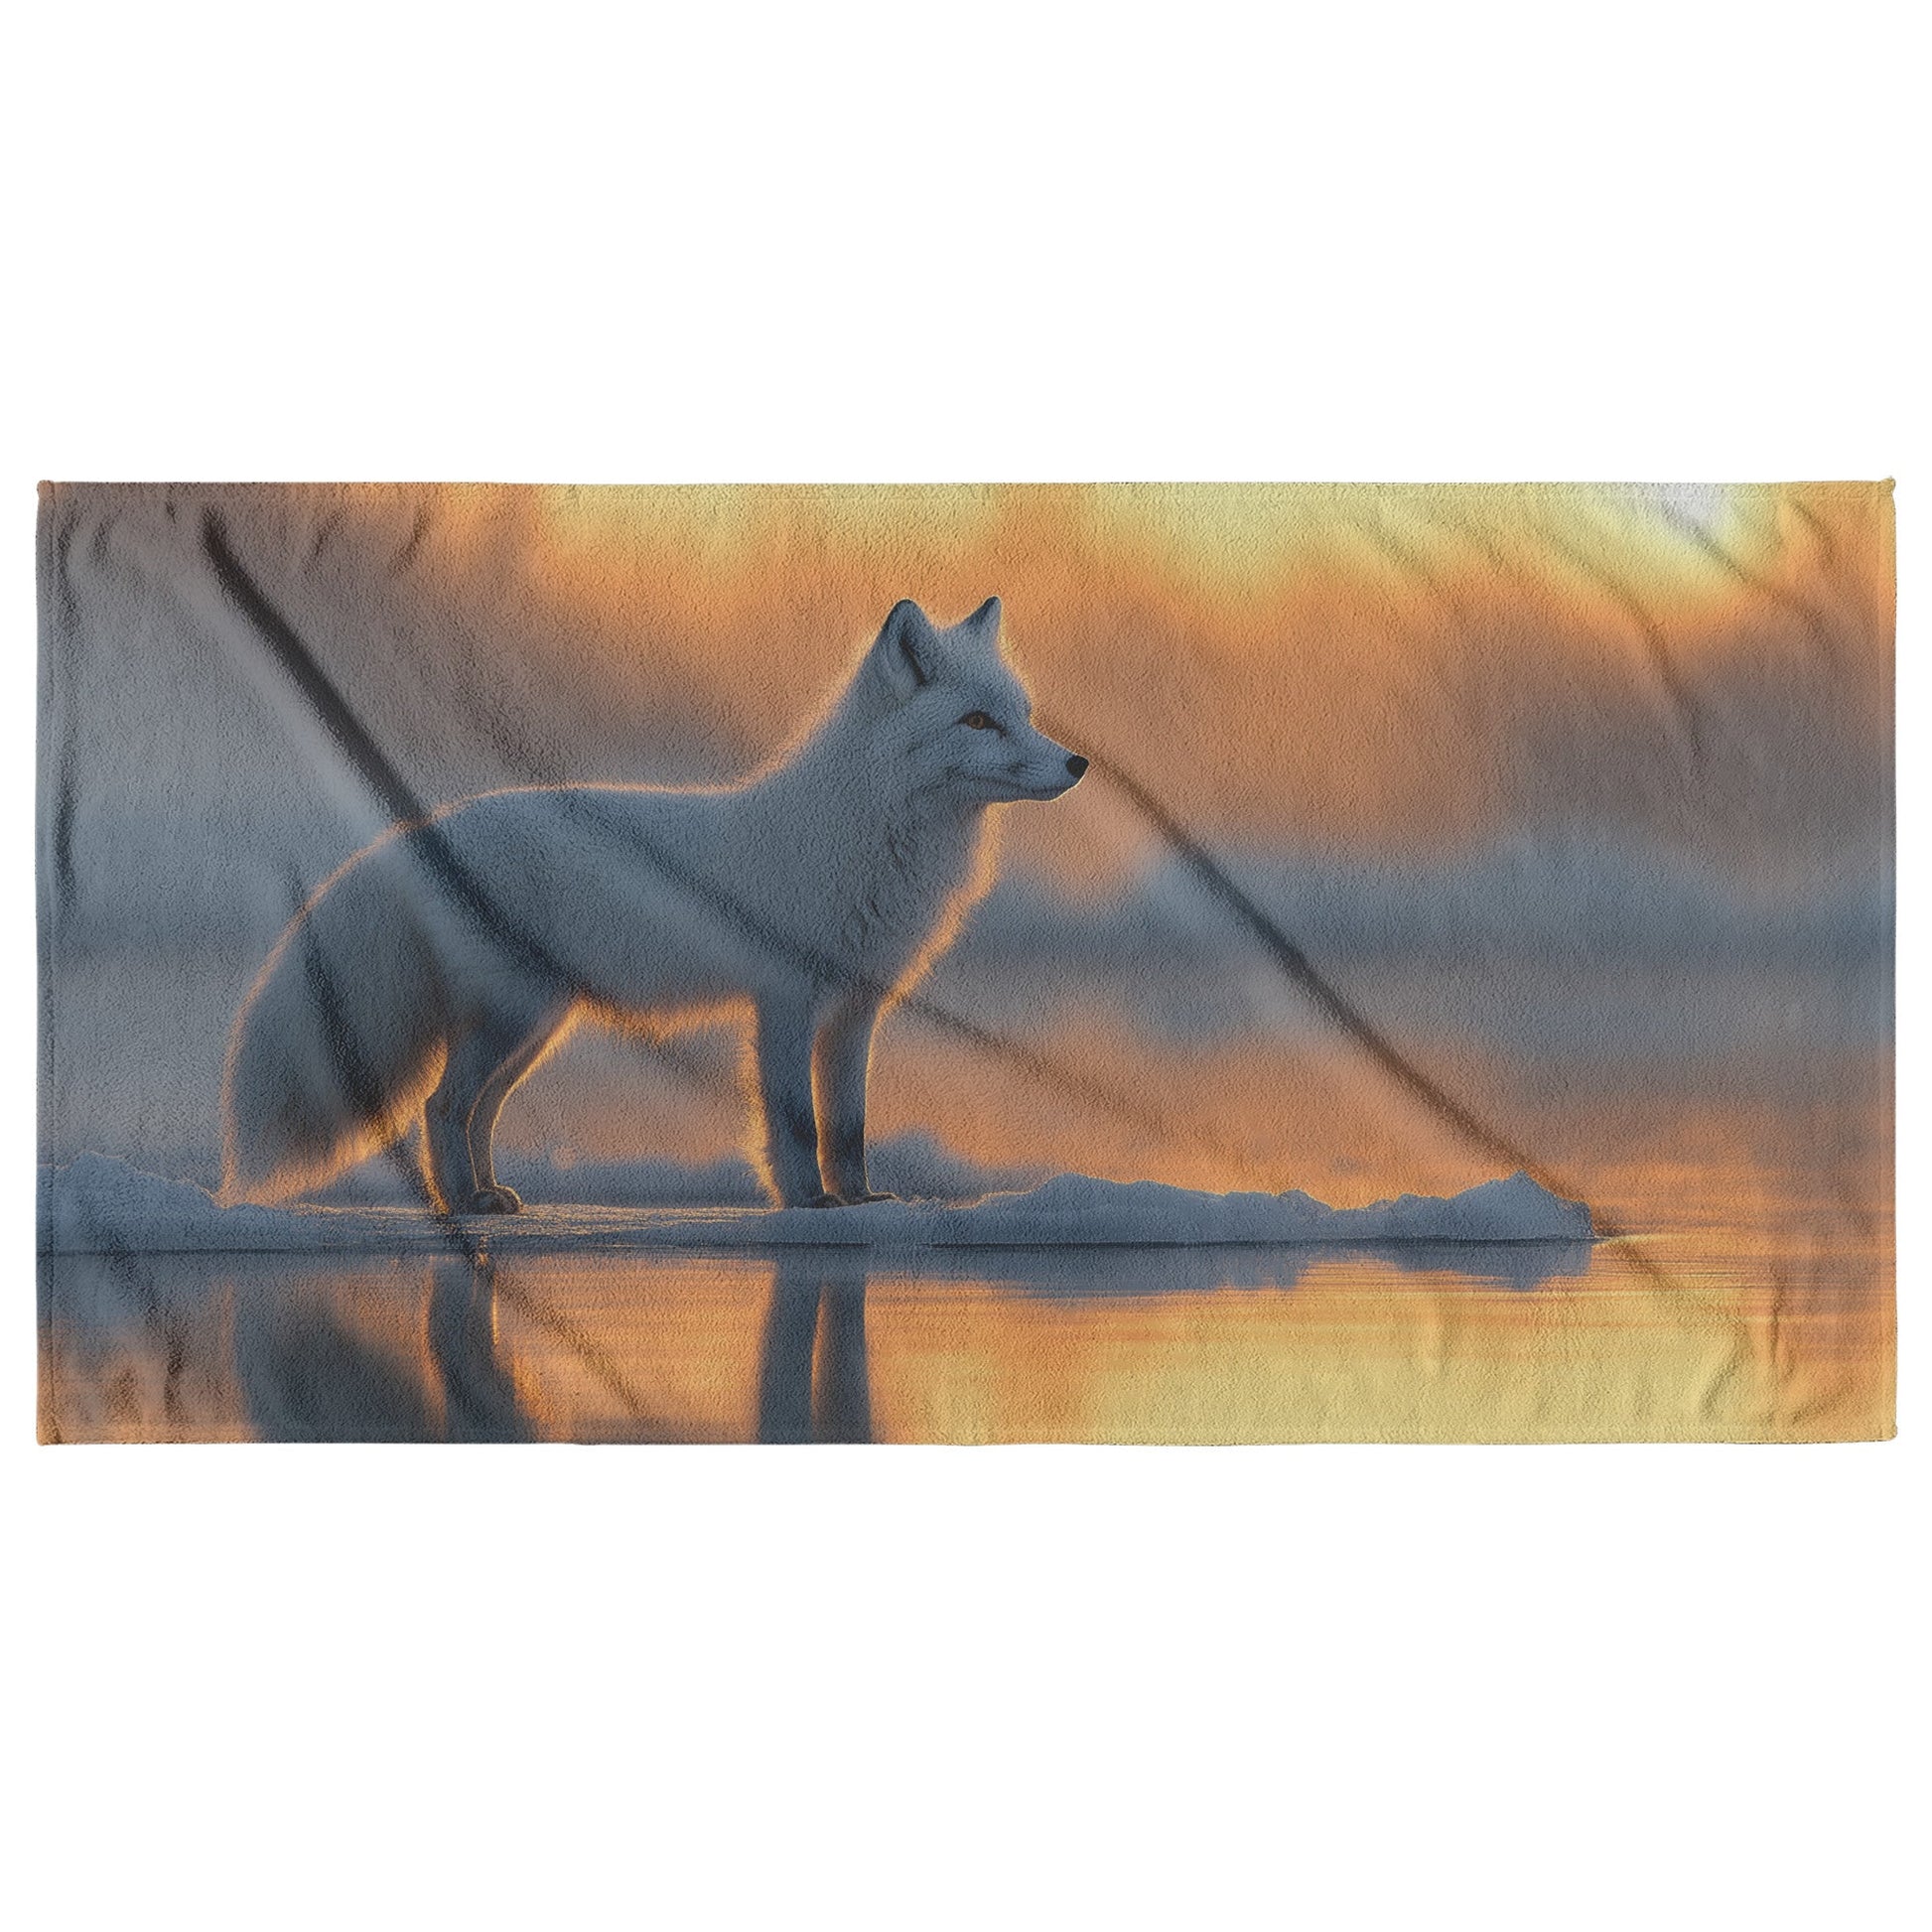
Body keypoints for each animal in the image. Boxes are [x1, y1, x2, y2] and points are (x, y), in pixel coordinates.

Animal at [221, 596, 1085, 1214]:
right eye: (978, 720)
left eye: (1023, 714)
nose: (1077, 763)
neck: (866, 836)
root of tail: (418, 830)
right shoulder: (784, 998)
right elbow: (794, 1123)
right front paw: (808, 1203)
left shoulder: (853, 1010)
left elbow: (847, 1127)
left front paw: (862, 1200)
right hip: (514, 1017)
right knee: (441, 1106)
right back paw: (462, 1203)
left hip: (536, 1028)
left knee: (474, 1112)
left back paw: (490, 1195)